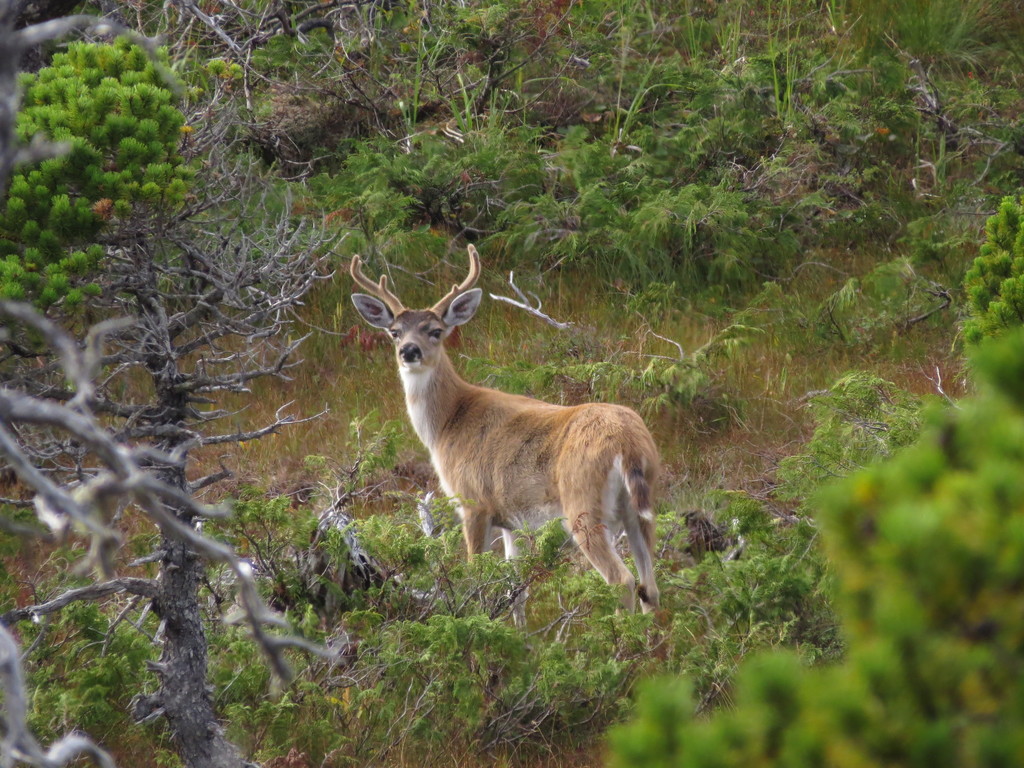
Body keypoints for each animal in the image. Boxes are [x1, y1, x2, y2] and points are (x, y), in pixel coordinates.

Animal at [349, 245, 661, 622]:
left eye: (435, 330)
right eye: (394, 330)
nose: (409, 351)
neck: (448, 422)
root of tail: (627, 442)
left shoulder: (473, 502)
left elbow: (476, 579)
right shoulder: (512, 520)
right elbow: (516, 591)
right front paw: (521, 635)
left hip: (583, 503)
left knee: (622, 580)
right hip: (641, 506)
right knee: (650, 587)